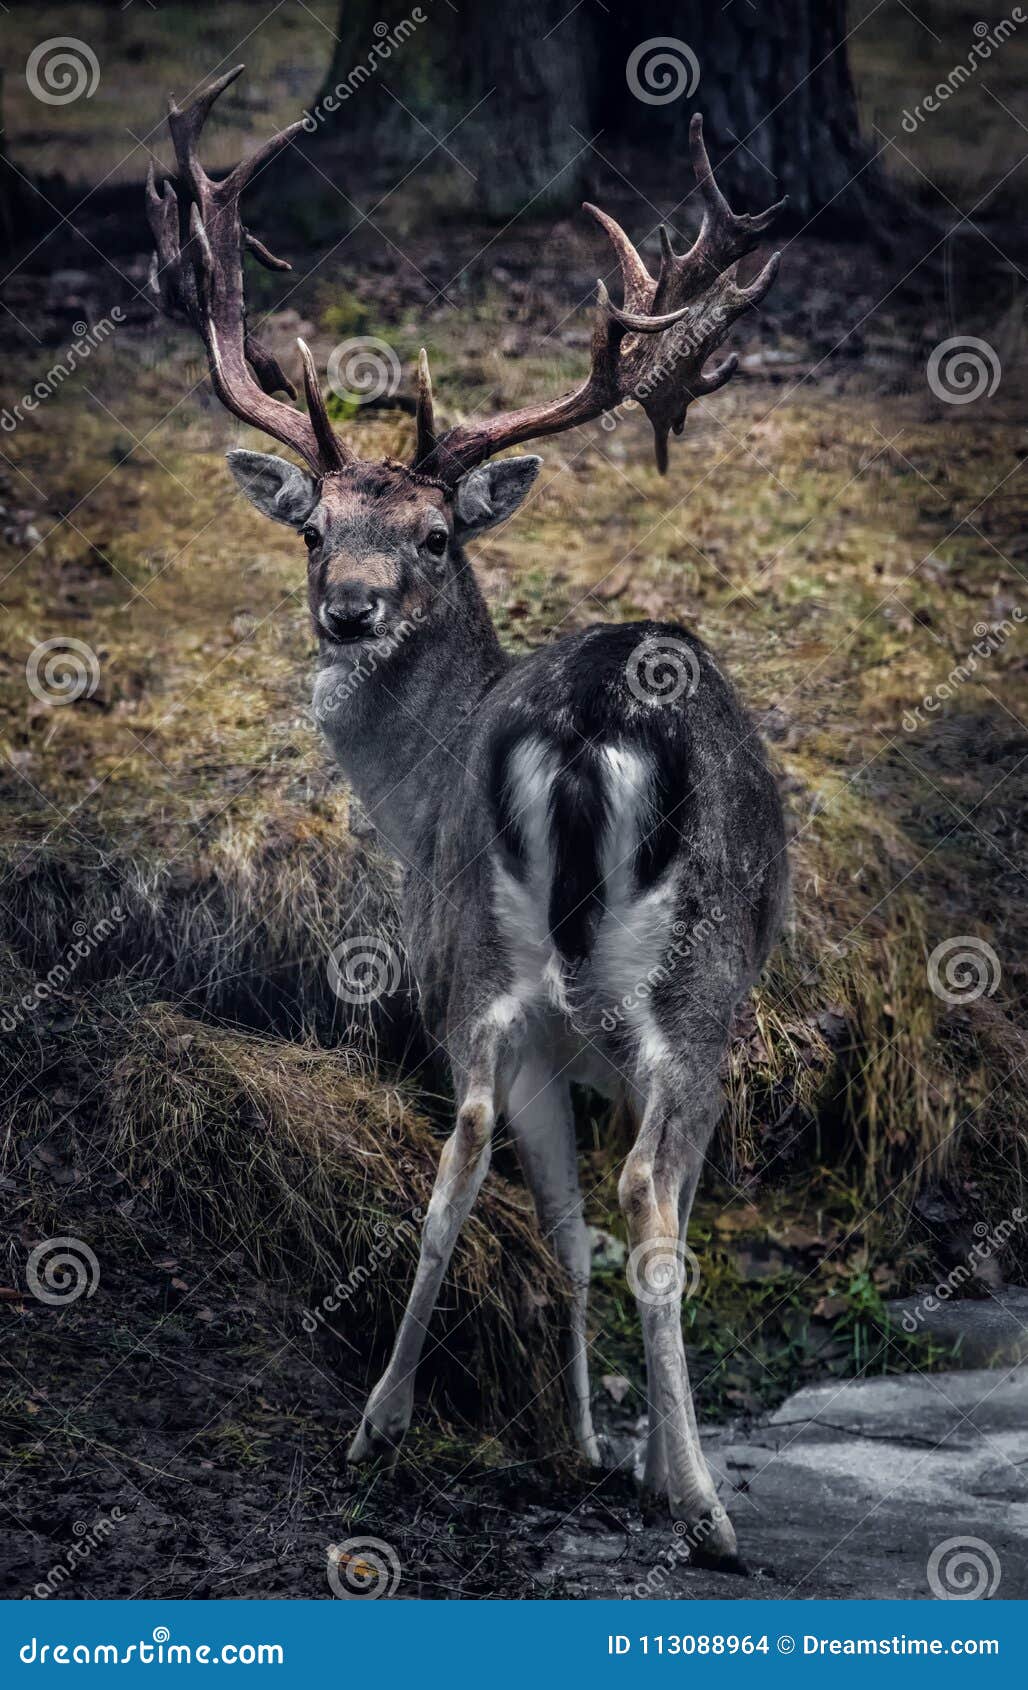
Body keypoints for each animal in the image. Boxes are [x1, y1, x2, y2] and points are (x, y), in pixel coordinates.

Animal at [147, 66, 789, 1572]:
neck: (414, 783)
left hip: (487, 966)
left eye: (433, 537)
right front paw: (635, 1457)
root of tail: (586, 725)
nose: (347, 609)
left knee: (471, 1153)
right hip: (688, 991)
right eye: (314, 527)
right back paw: (705, 1506)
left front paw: (587, 1439)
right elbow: (617, 1219)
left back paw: (379, 1423)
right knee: (635, 1205)